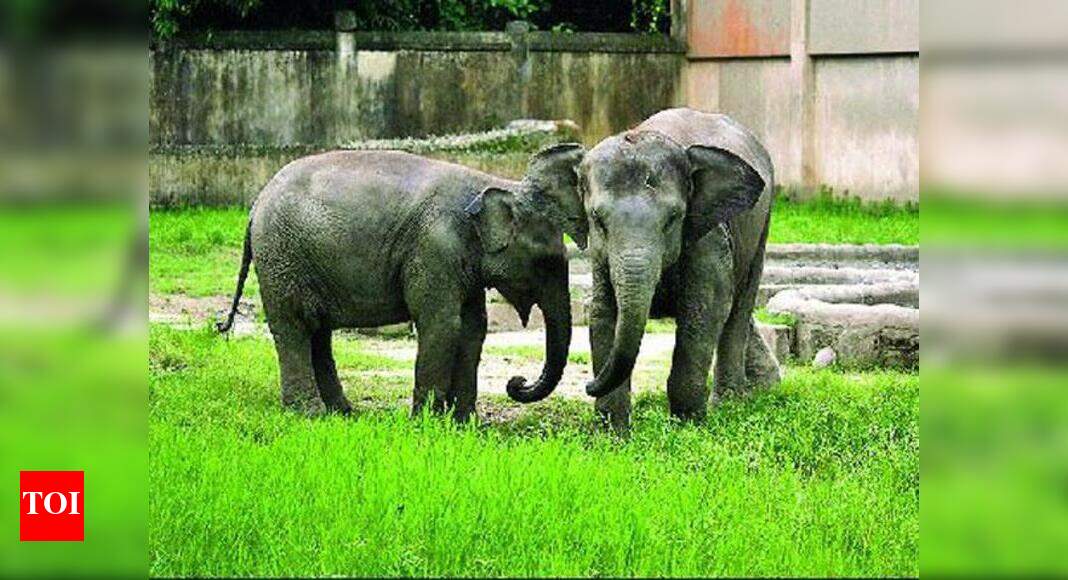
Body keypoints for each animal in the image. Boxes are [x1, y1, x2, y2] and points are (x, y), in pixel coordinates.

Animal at [217, 144, 587, 421]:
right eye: (547, 262)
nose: (517, 383)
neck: (490, 185)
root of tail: (255, 205)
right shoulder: (434, 247)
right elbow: (442, 324)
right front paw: (427, 424)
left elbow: (473, 328)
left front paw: (464, 424)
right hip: (281, 255)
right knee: (294, 327)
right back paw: (310, 414)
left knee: (317, 332)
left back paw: (342, 413)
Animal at [577, 108, 782, 430]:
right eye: (597, 220)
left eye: (673, 219)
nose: (587, 385)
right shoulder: (601, 257)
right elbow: (603, 311)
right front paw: (612, 433)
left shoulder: (706, 233)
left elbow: (705, 308)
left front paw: (688, 426)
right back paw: (763, 387)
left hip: (762, 224)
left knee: (738, 308)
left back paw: (731, 403)